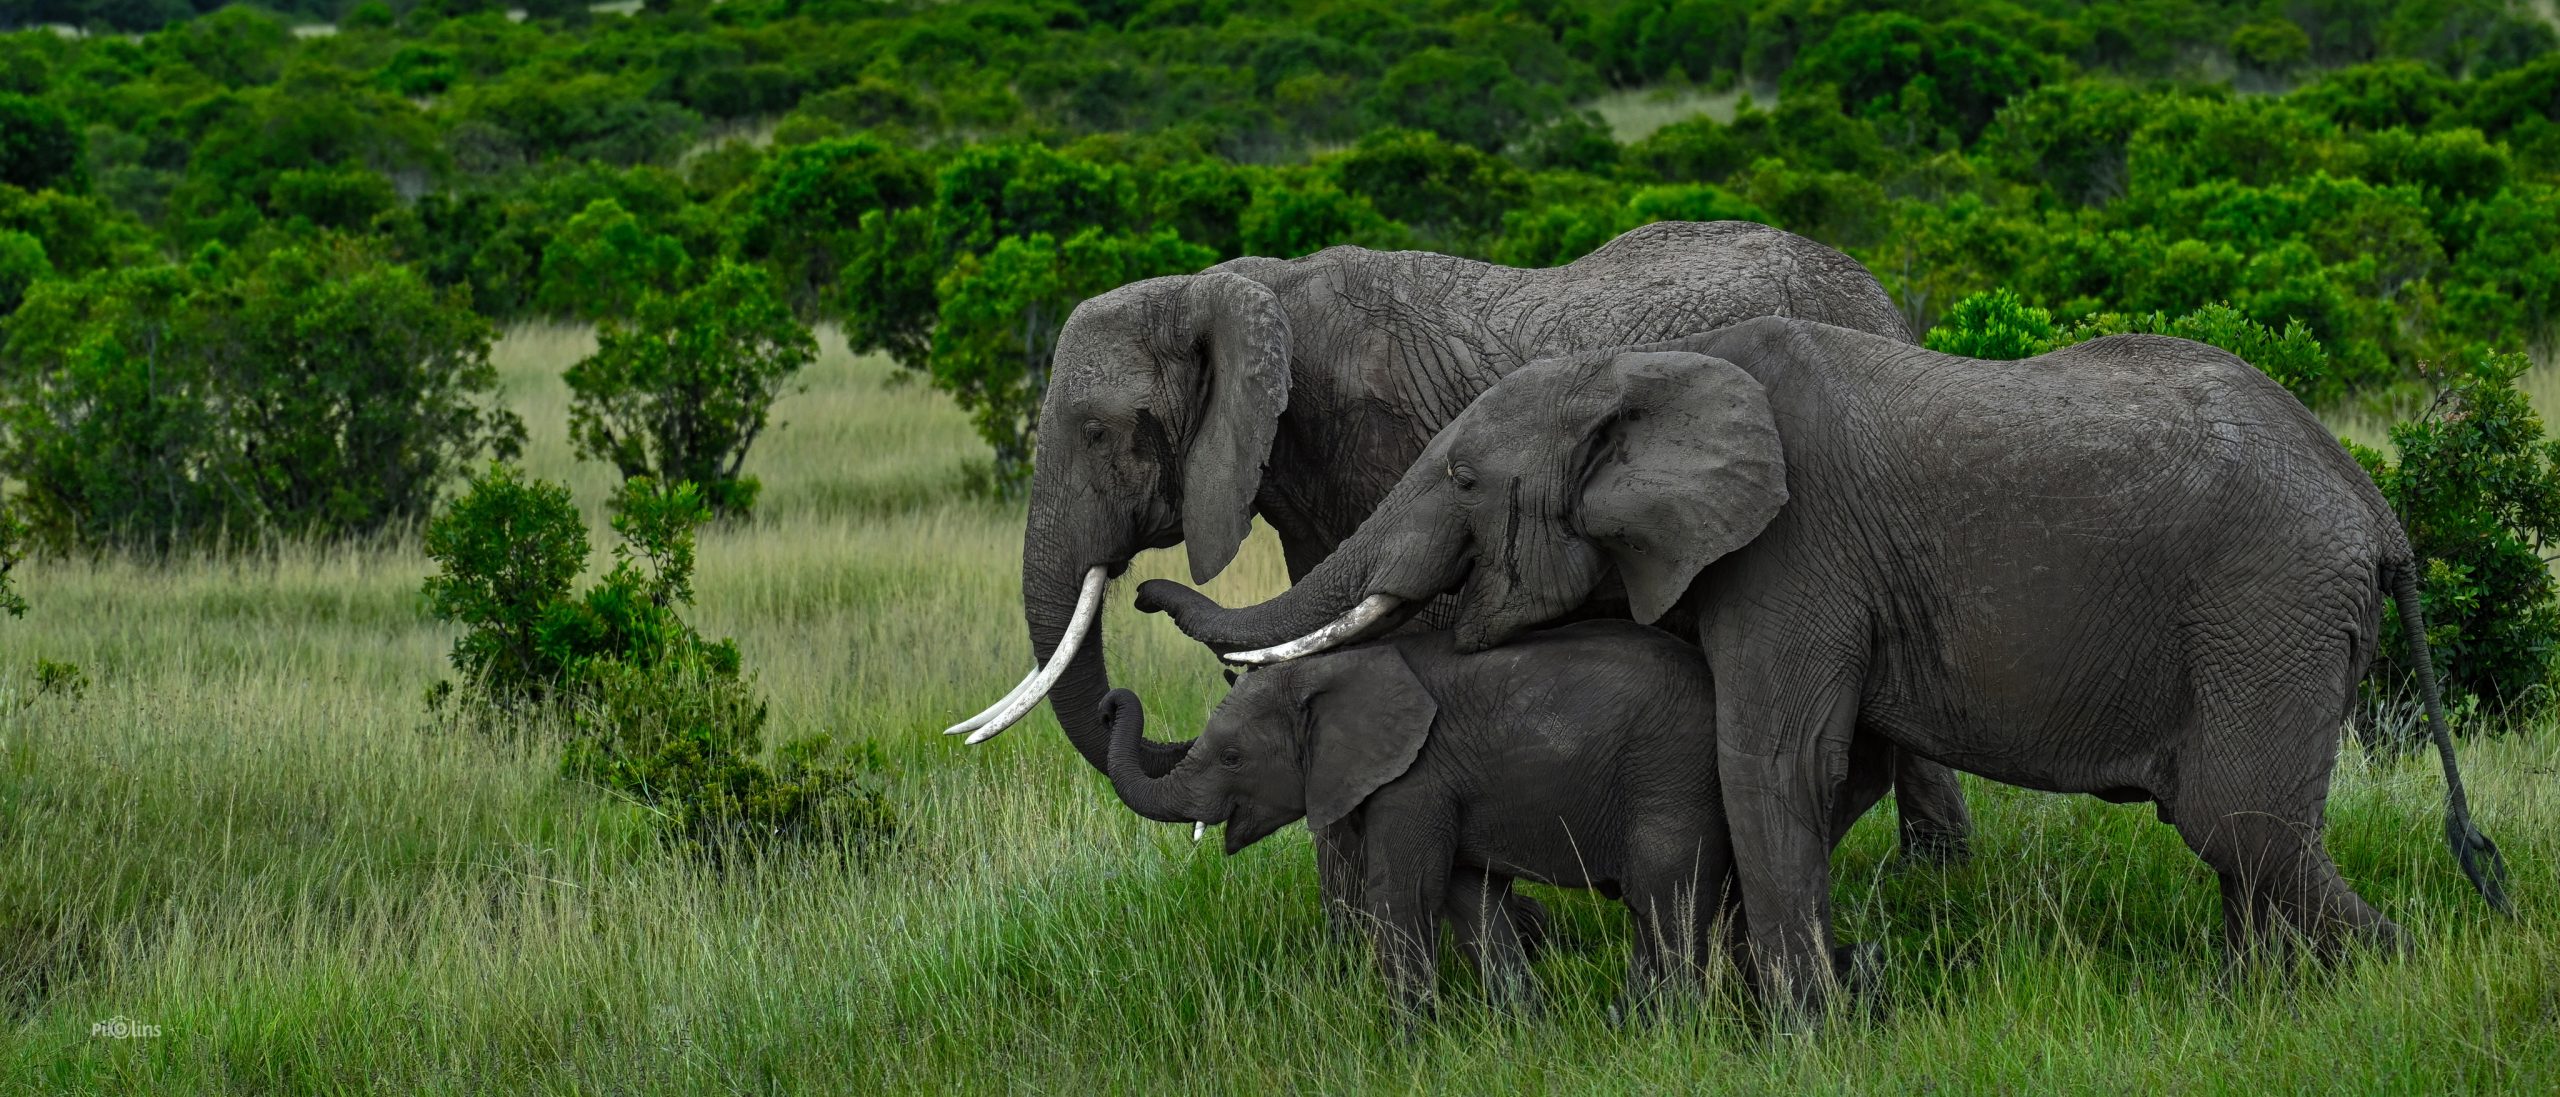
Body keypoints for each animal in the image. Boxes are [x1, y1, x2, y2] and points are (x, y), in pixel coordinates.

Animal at [948, 221, 1978, 933]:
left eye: (1098, 432)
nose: (1141, 597)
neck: (1238, 285)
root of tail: (1882, 293)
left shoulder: (1381, 440)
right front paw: (1354, 948)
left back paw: (1932, 886)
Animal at [1098, 620, 1745, 1019]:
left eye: (1232, 757)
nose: (1111, 702)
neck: (1331, 671)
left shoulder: (1415, 780)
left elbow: (1407, 894)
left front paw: (1408, 1045)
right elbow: (1471, 899)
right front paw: (1523, 1031)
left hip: (1672, 773)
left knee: (1666, 895)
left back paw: (1657, 1030)